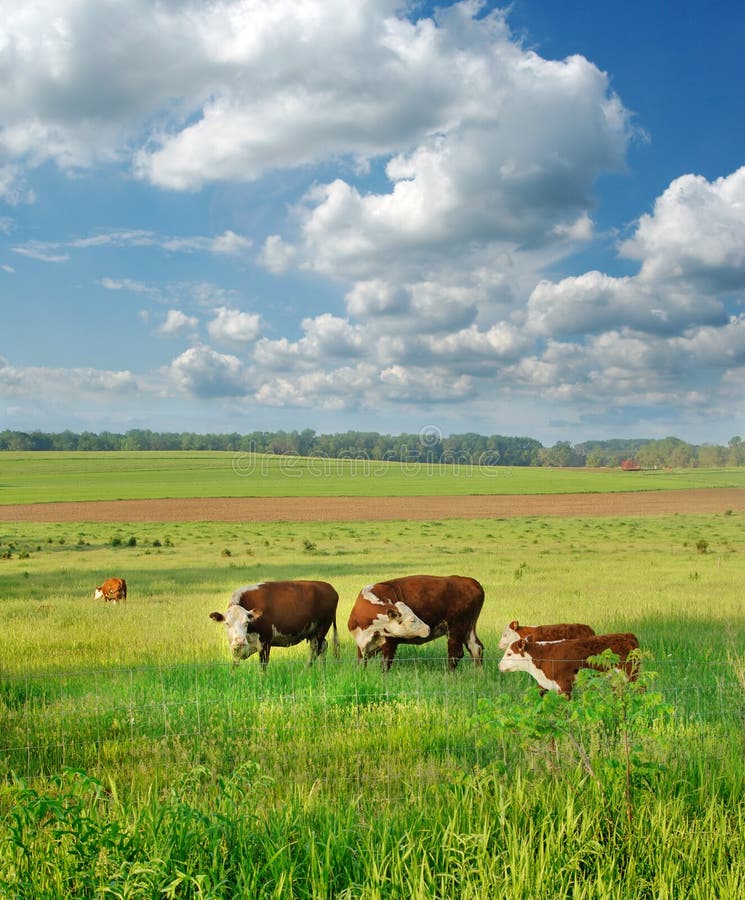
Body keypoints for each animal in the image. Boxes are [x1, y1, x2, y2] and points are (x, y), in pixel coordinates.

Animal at [209, 580, 339, 670]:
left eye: (246, 622)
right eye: (227, 624)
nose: (240, 641)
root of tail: (328, 586)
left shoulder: (265, 642)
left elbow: (263, 666)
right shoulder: (235, 648)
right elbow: (235, 665)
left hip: (322, 628)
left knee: (318, 649)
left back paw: (306, 671)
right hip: (312, 631)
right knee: (320, 647)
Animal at [347, 574, 485, 671]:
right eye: (412, 619)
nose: (428, 628)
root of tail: (469, 581)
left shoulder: (390, 643)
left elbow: (385, 666)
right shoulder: (361, 647)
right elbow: (361, 666)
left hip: (456, 628)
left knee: (455, 654)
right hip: (468, 628)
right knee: (476, 648)